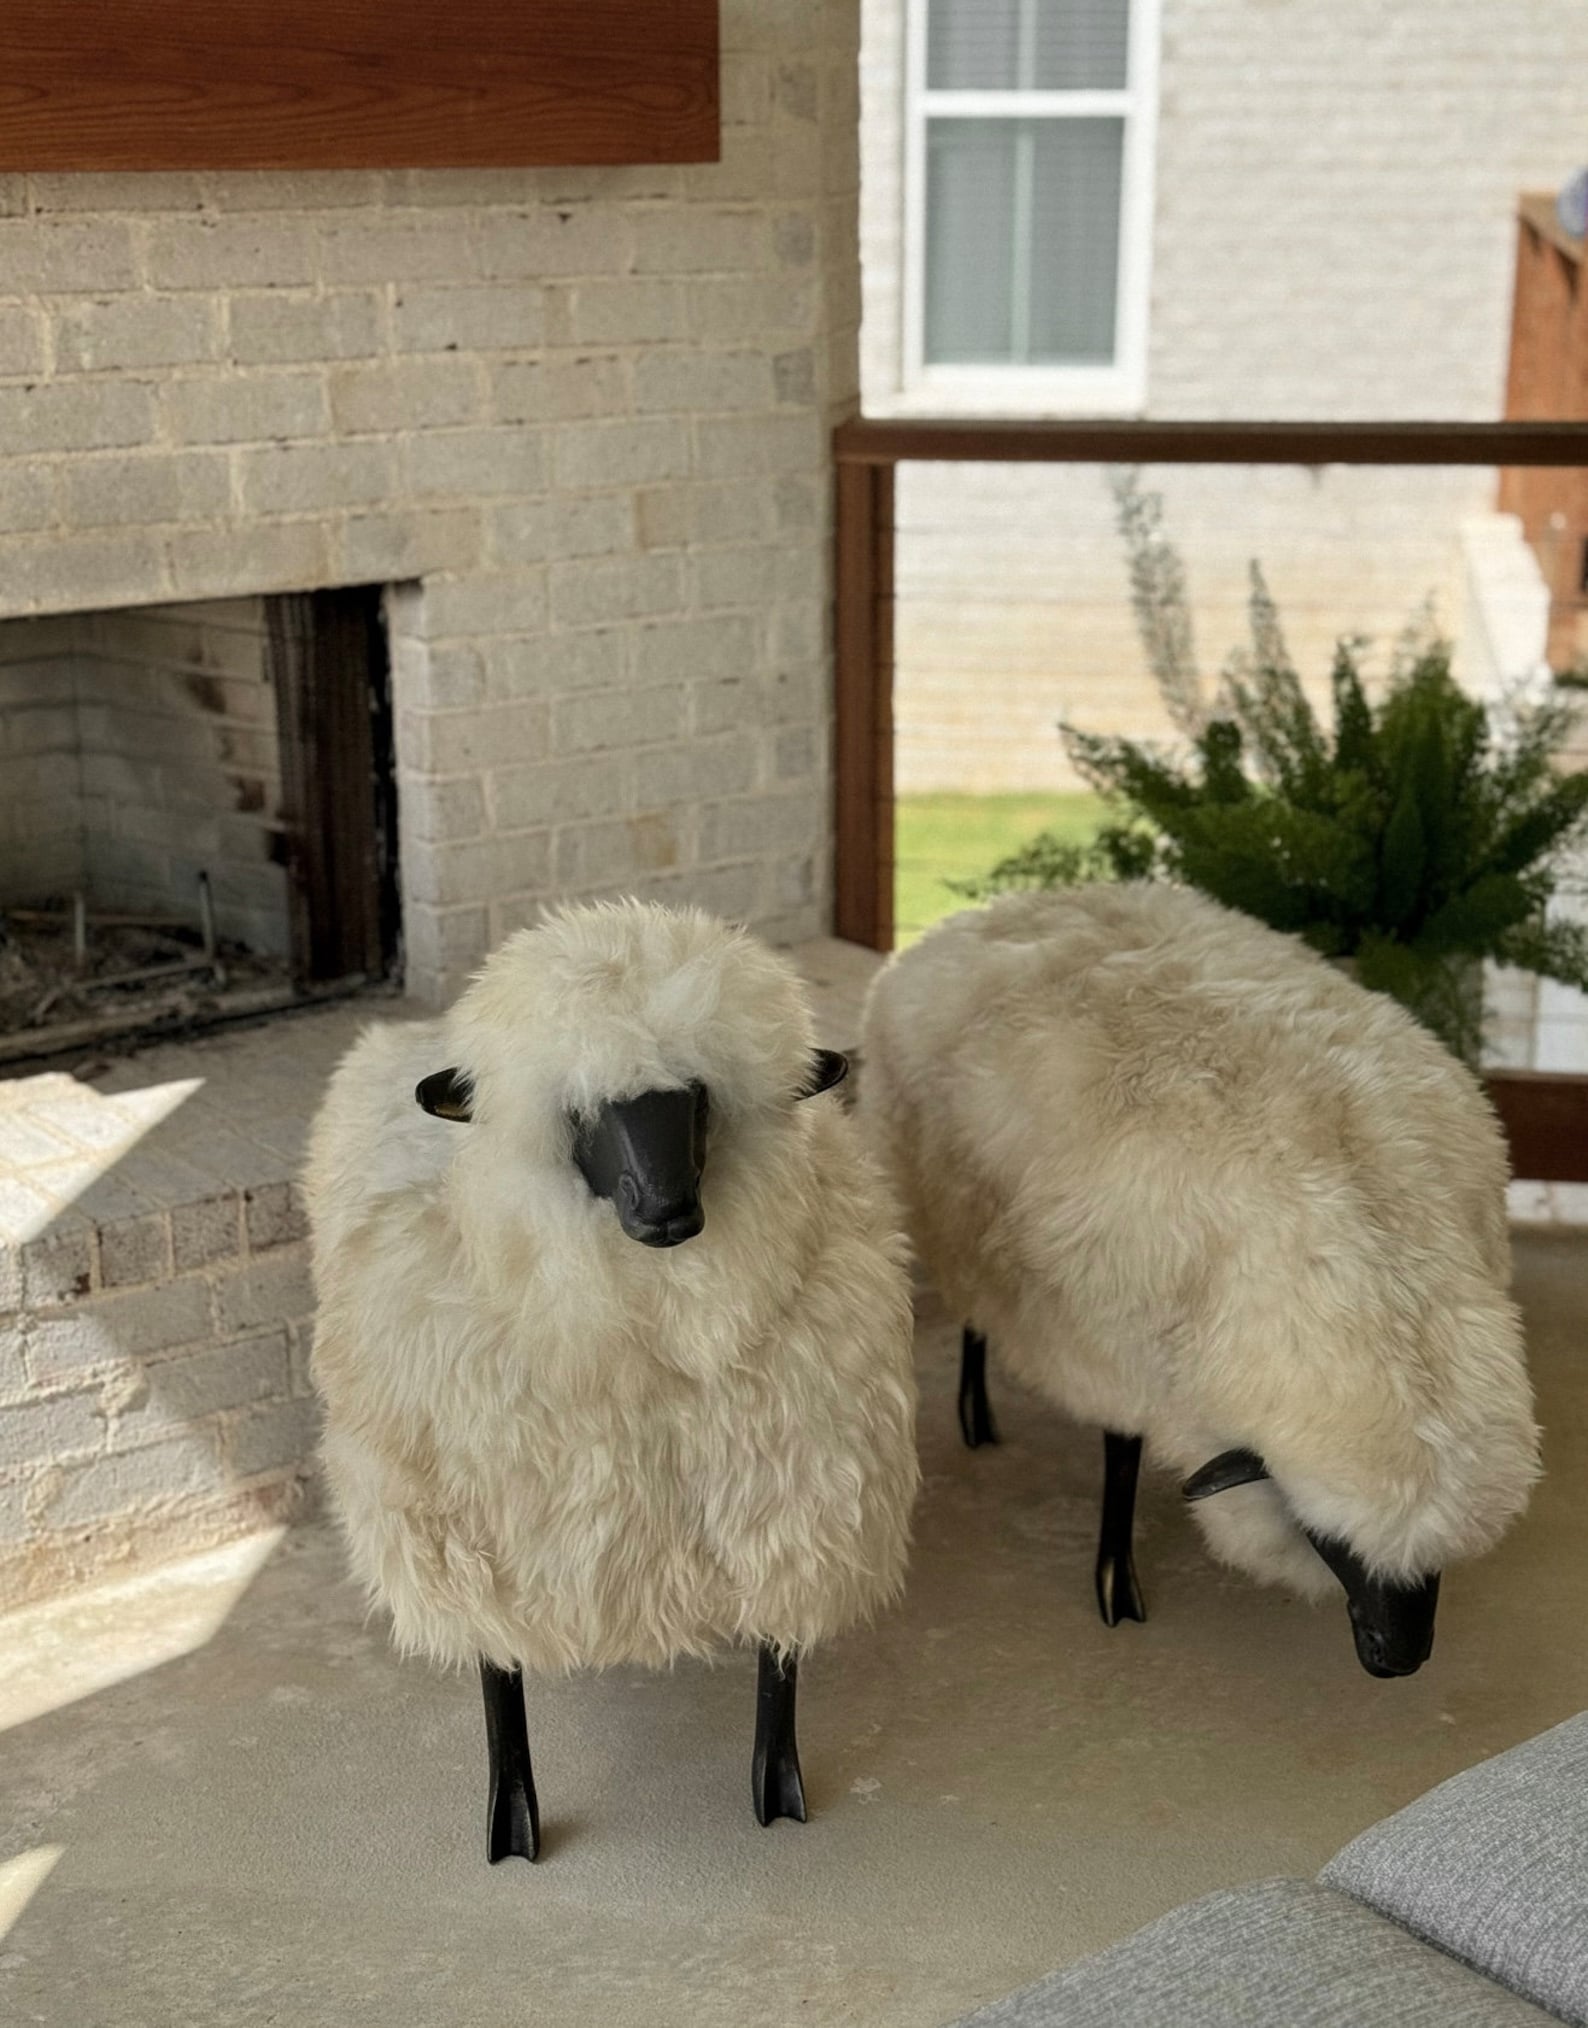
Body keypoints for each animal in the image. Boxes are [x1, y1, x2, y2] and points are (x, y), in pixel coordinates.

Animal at [305, 900, 917, 1860]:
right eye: (584, 1113)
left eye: (698, 1098)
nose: (668, 1211)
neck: (646, 1359)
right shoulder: (480, 1533)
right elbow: (499, 1680)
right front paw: (512, 1818)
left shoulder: (798, 1506)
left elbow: (780, 1663)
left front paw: (778, 1789)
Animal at [857, 882, 1539, 1678]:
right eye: (1330, 1542)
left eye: (1437, 1569)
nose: (1396, 1661)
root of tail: (989, 910)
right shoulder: (1114, 1350)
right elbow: (1121, 1458)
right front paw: (1117, 1583)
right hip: (950, 1218)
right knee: (973, 1318)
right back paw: (977, 1418)